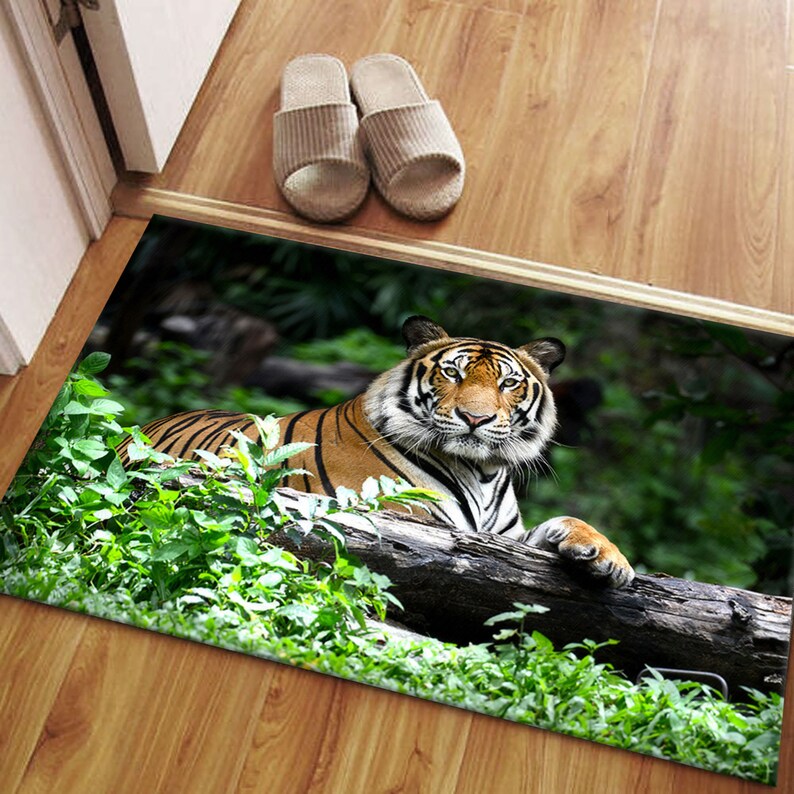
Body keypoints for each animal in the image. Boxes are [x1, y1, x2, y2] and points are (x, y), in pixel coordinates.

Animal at [118, 316, 634, 587]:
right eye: (453, 373)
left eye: (508, 383)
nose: (476, 419)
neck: (483, 472)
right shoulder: (406, 518)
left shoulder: (505, 539)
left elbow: (566, 522)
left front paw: (610, 560)